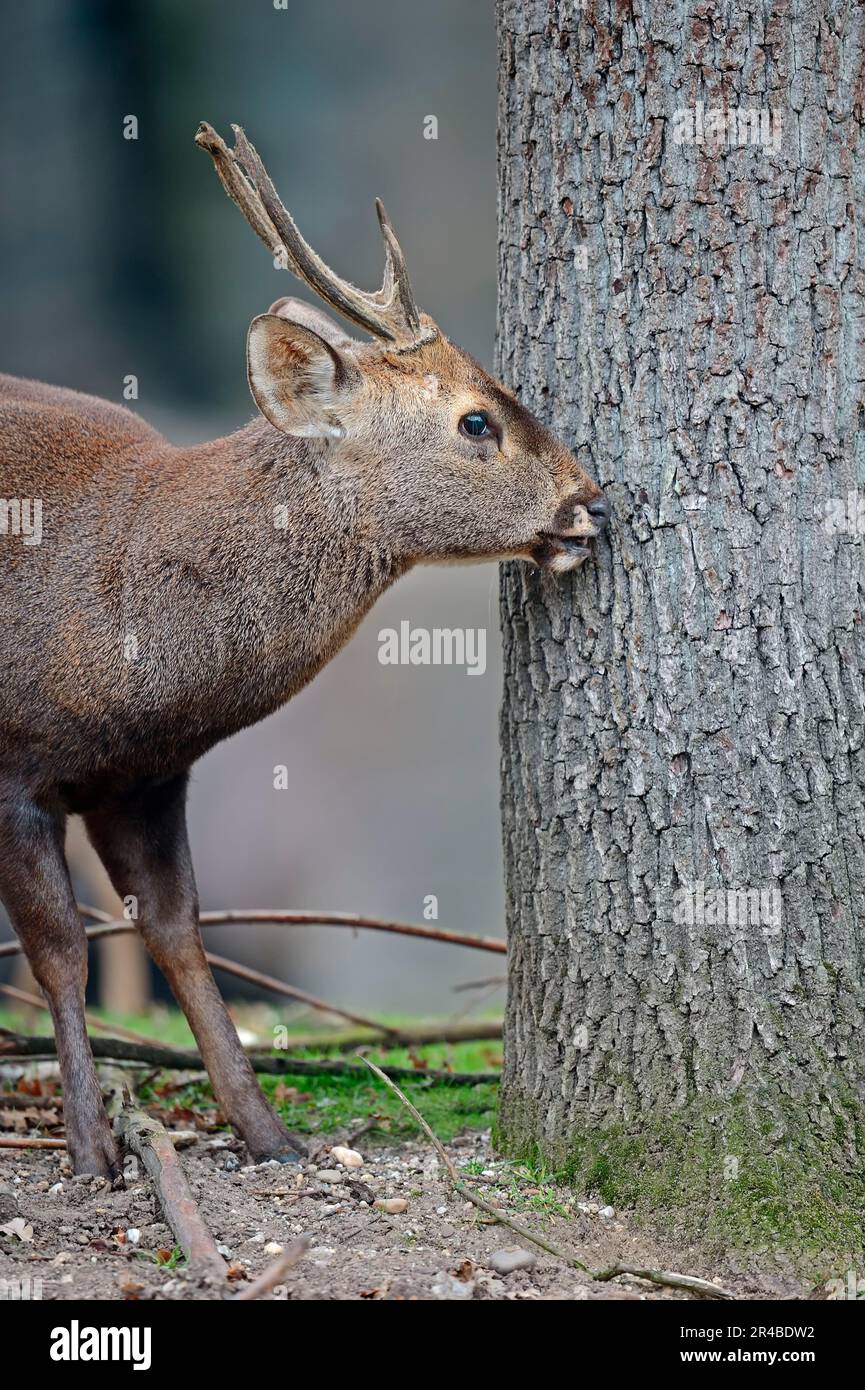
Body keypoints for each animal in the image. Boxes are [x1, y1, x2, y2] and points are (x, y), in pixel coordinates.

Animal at [0, 123, 609, 1176]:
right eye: (476, 420)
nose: (591, 506)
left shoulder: (145, 777)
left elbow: (180, 934)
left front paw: (270, 1136)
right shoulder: (13, 764)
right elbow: (61, 952)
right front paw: (90, 1150)